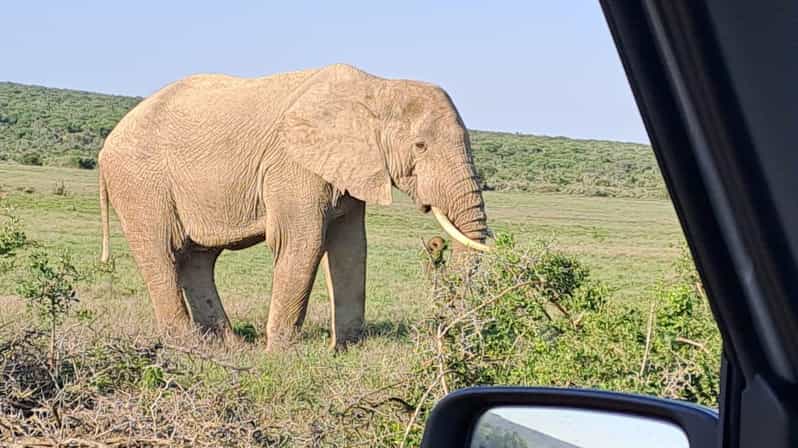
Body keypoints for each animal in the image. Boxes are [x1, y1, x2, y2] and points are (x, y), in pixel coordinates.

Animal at [98, 63, 489, 351]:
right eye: (420, 146)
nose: (451, 332)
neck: (378, 87)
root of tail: (106, 146)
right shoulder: (293, 166)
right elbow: (303, 243)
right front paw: (282, 356)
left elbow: (351, 248)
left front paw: (346, 351)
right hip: (141, 183)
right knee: (162, 253)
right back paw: (188, 348)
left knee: (198, 258)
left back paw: (227, 347)